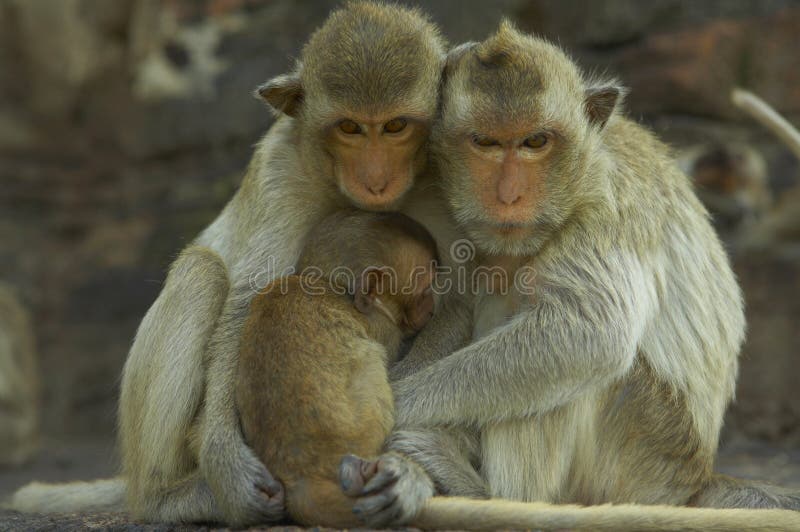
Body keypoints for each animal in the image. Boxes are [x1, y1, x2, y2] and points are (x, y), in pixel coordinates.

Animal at [8, 2, 450, 525]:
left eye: (395, 127)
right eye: (350, 128)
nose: (376, 179)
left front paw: (404, 469)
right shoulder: (281, 167)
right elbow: (243, 300)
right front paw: (228, 467)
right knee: (201, 272)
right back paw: (171, 496)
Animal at [338, 21, 800, 529]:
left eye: (536, 142)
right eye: (486, 143)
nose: (509, 196)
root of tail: (696, 480)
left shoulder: (604, 205)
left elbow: (588, 330)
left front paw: (394, 409)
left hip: (645, 451)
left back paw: (487, 494)